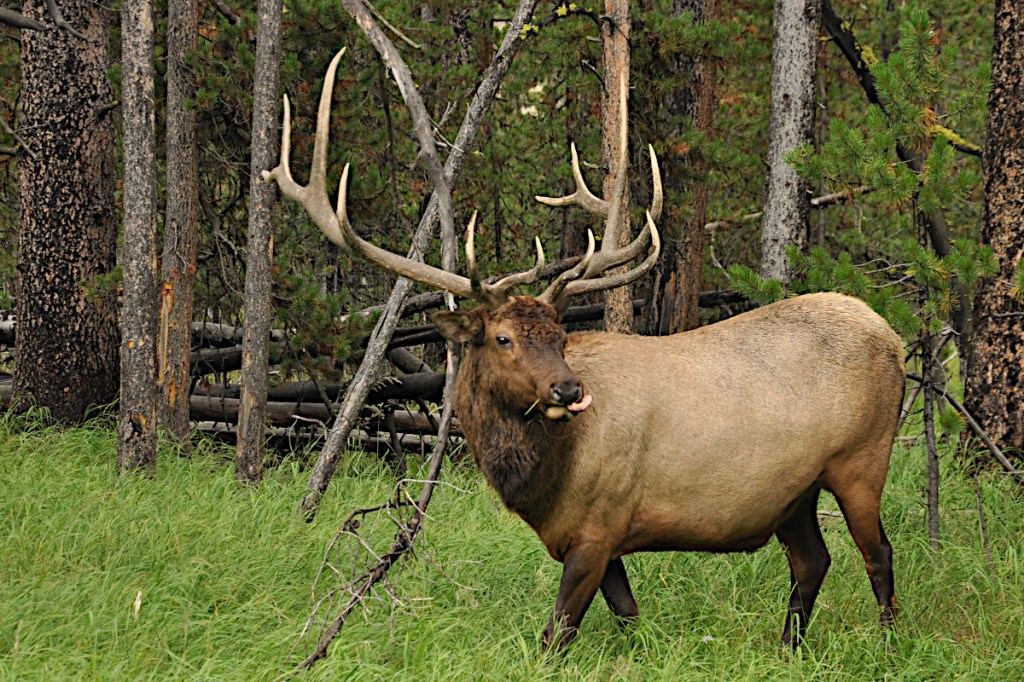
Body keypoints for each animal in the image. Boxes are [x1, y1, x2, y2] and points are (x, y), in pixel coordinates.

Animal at [264, 49, 904, 651]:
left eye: (560, 336)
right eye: (503, 338)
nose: (568, 389)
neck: (543, 481)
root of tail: (893, 339)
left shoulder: (601, 523)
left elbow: (557, 635)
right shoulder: (591, 537)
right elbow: (629, 618)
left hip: (861, 460)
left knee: (879, 554)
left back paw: (890, 642)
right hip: (792, 495)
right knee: (812, 561)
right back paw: (789, 648)